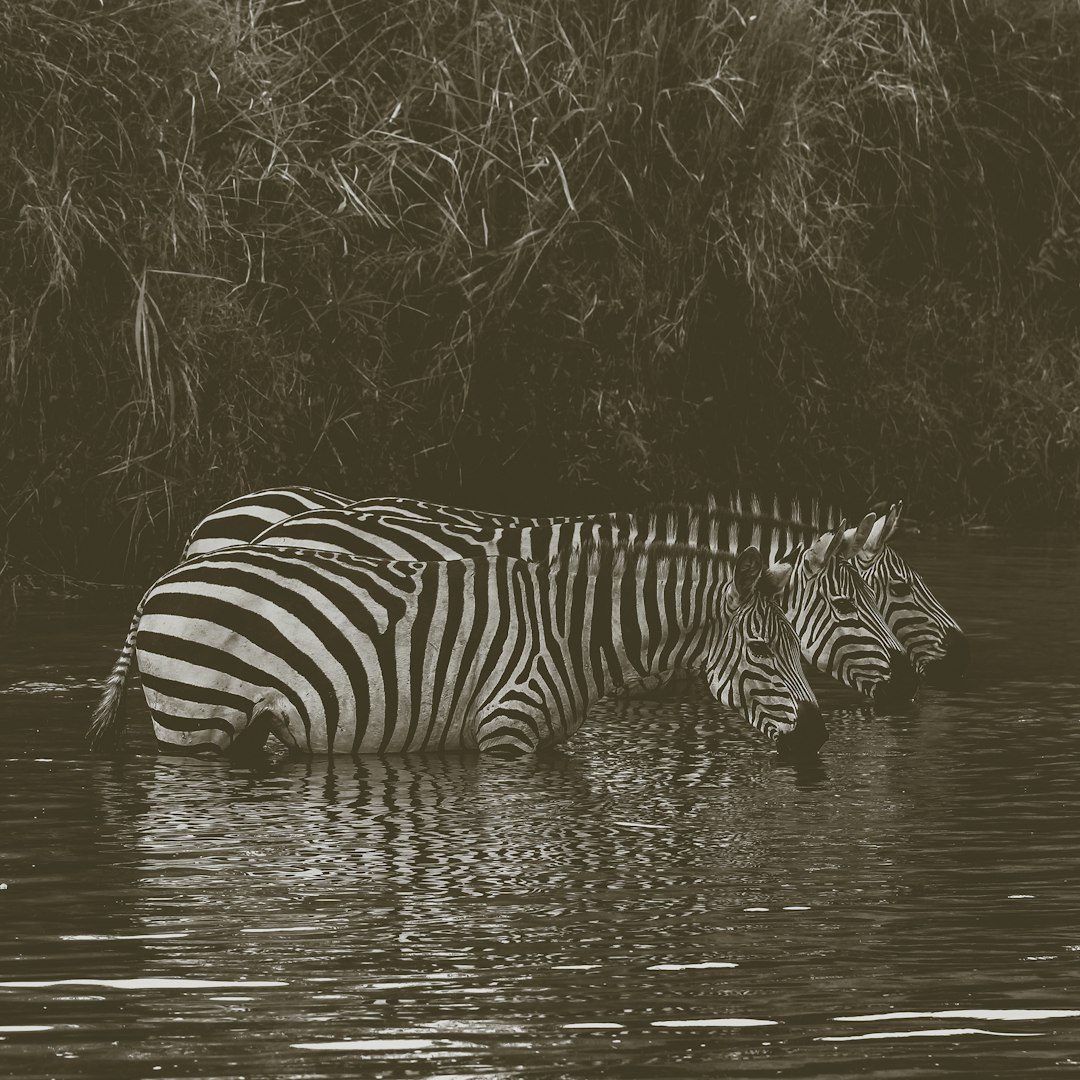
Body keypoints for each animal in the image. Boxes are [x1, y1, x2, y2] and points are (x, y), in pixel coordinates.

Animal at [88, 539, 823, 758]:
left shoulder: (546, 742)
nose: (817, 733)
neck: (573, 633)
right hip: (194, 722)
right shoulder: (507, 733)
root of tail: (161, 581)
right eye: (762, 648)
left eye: (797, 644)